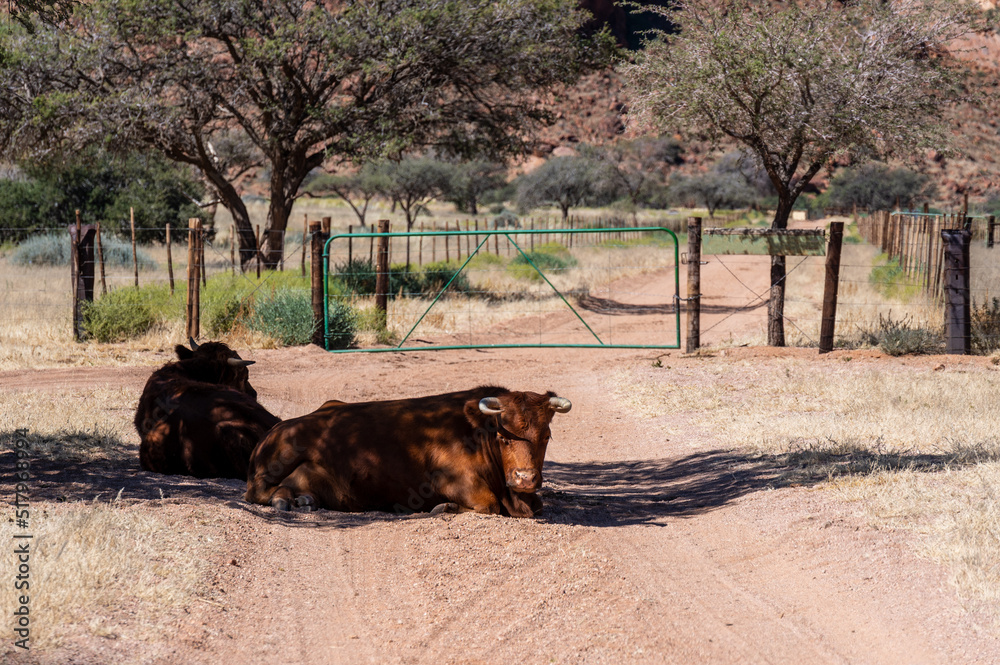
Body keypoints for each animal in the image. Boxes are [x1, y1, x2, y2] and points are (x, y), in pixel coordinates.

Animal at [244, 386, 572, 518]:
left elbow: (537, 504)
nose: (525, 478)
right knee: (258, 492)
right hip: (281, 454)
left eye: (546, 436)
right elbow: (488, 504)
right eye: (503, 437)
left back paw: (302, 500)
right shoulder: (451, 480)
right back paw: (284, 502)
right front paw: (444, 508)